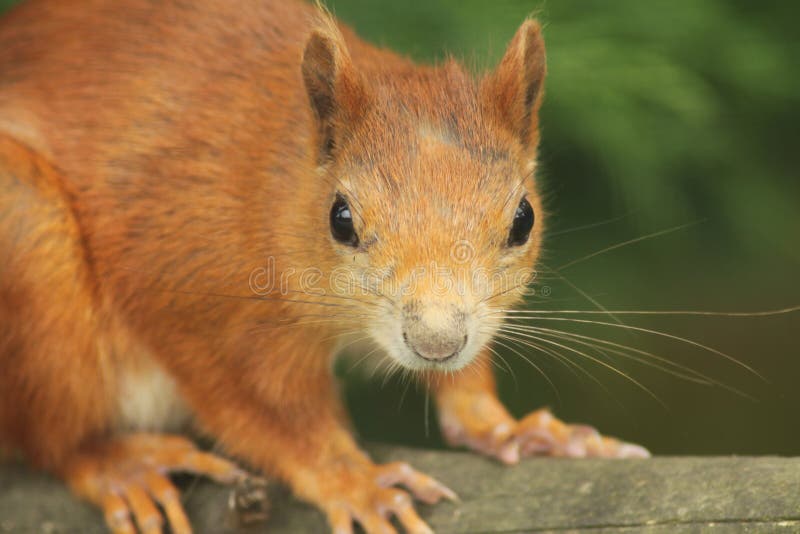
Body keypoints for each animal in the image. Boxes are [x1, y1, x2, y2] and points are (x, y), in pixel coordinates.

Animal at [0, 0, 649, 532]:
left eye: (523, 219)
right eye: (340, 219)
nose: (435, 342)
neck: (275, 180)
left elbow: (466, 390)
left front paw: (506, 427)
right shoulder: (192, 292)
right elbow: (268, 416)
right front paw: (353, 480)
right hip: (27, 238)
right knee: (54, 442)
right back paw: (120, 464)